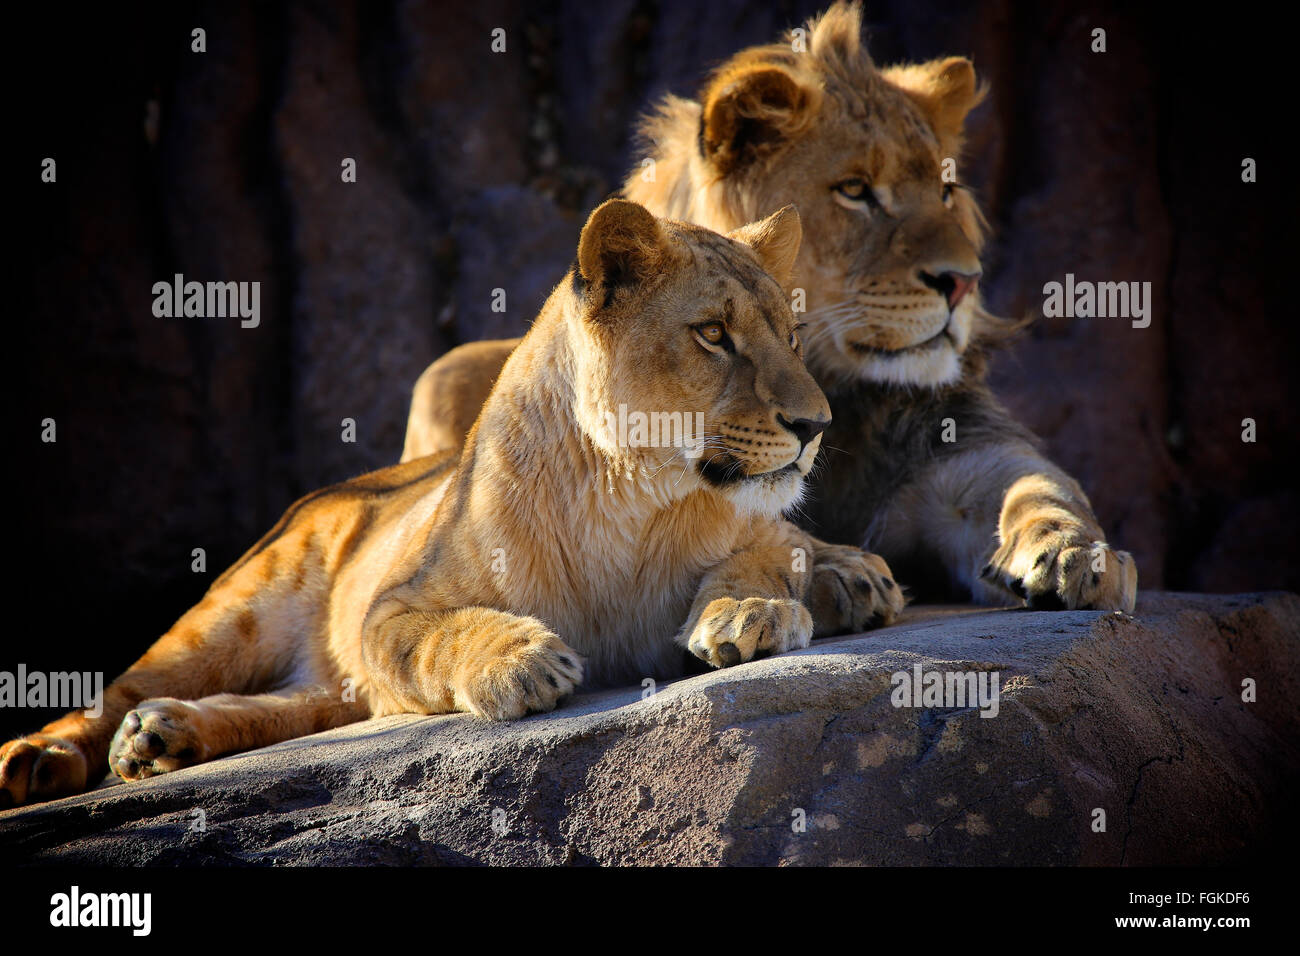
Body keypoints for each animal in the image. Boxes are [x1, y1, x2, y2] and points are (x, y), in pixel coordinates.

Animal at [0, 200, 903, 808]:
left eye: (791, 337)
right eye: (714, 333)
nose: (815, 426)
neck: (632, 494)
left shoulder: (757, 530)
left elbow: (761, 556)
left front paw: (751, 612)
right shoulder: (391, 608)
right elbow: (437, 636)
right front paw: (518, 660)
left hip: (324, 679)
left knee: (303, 705)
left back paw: (166, 737)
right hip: (237, 610)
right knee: (120, 689)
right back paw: (57, 753)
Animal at [402, 1, 1137, 613]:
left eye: (946, 191)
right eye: (854, 190)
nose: (962, 282)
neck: (842, 389)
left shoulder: (956, 455)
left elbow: (1040, 486)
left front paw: (1076, 551)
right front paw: (835, 570)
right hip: (444, 377)